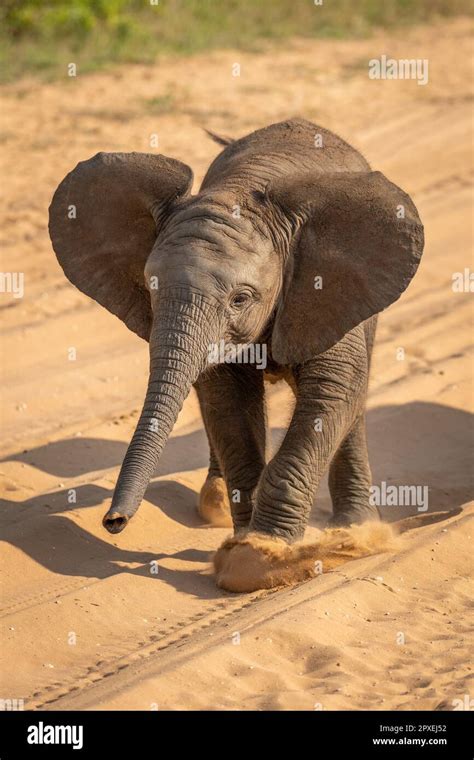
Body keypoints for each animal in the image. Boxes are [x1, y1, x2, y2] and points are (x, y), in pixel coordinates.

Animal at [49, 118, 424, 591]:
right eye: (150, 288)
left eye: (241, 299)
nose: (113, 522)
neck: (241, 190)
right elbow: (228, 404)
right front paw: (246, 548)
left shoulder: (327, 285)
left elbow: (332, 391)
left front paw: (257, 559)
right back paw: (215, 507)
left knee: (351, 397)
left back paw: (355, 531)